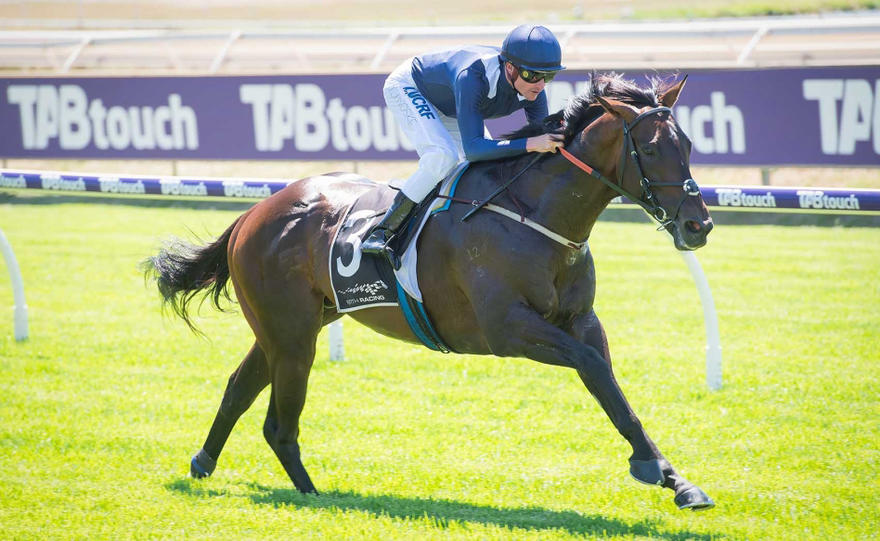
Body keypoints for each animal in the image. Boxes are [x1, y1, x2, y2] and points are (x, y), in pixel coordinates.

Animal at [144, 72, 715, 511]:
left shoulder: (582, 321)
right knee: (279, 425)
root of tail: (254, 212)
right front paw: (653, 467)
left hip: (294, 327)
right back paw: (313, 494)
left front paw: (677, 479)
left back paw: (204, 464)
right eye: (650, 148)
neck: (534, 217)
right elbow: (594, 369)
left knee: (238, 389)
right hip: (292, 335)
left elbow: (611, 388)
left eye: (688, 146)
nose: (698, 225)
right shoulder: (509, 329)